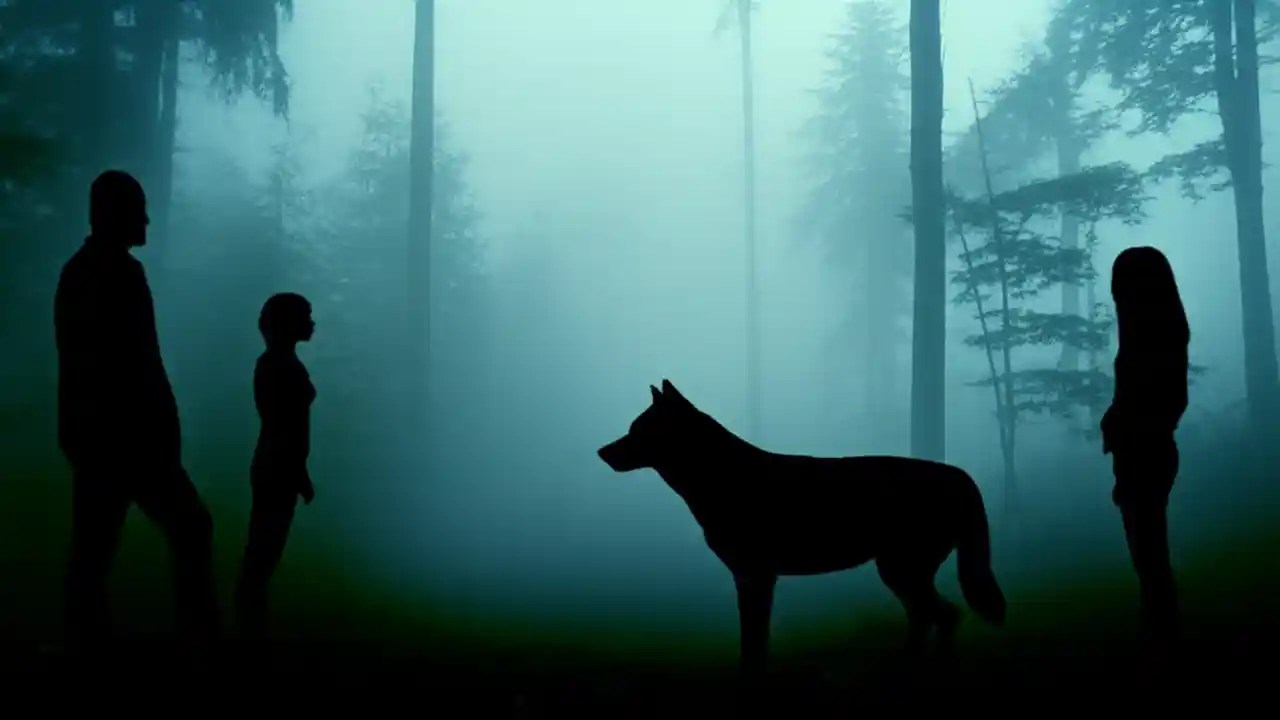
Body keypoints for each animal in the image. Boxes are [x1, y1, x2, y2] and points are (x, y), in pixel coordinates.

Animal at [597, 380, 1006, 677]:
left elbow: (756, 640)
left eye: (638, 429)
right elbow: (751, 641)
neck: (721, 477)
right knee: (930, 617)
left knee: (945, 614)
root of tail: (959, 474)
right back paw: (906, 666)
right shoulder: (746, 579)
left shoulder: (758, 576)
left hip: (900, 571)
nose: (602, 452)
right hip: (899, 574)